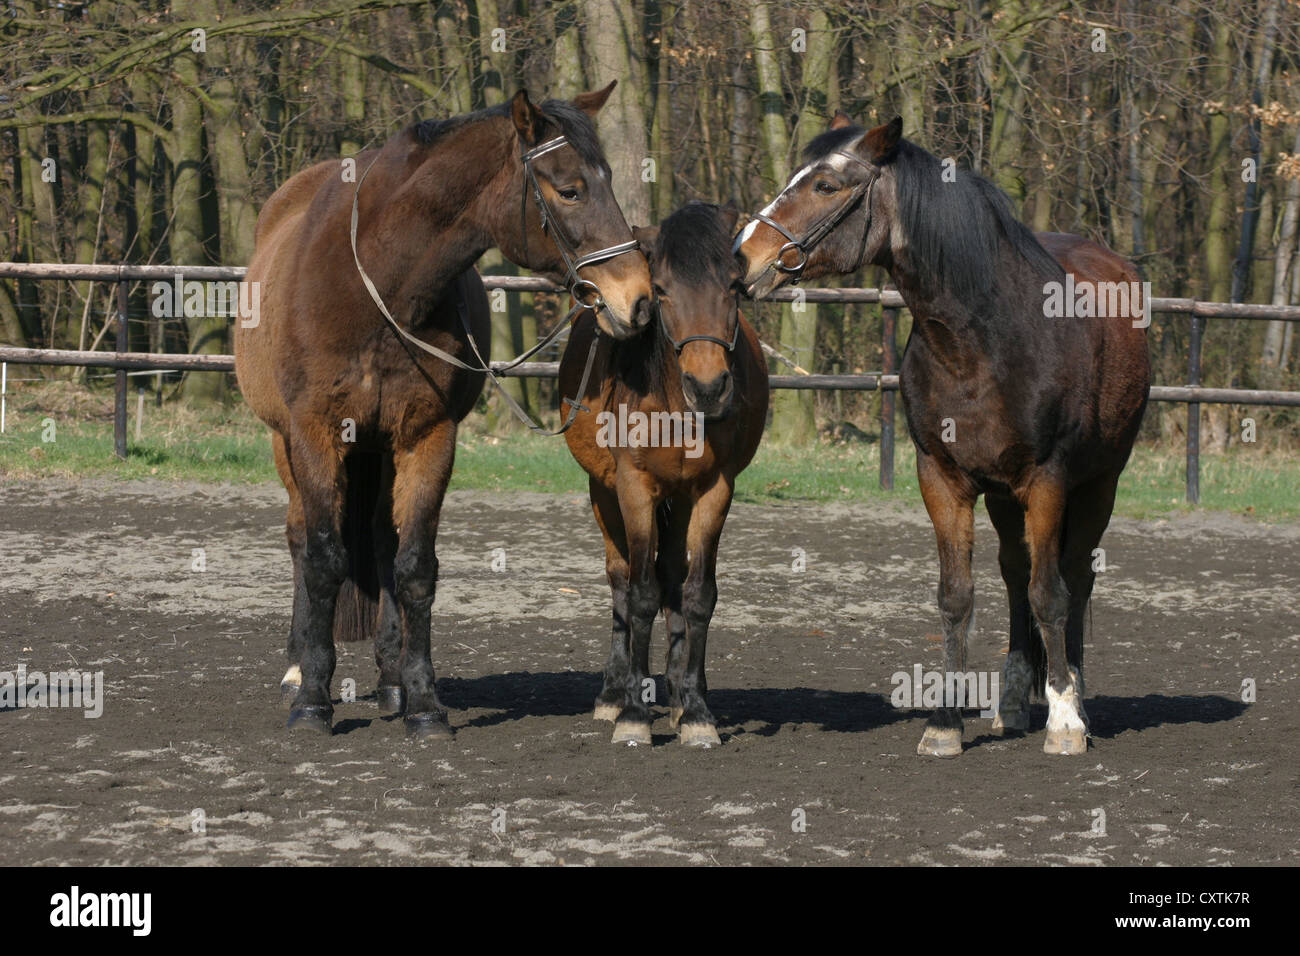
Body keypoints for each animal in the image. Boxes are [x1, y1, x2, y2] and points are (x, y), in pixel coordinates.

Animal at [235, 83, 652, 738]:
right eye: (570, 189)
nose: (637, 299)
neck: (377, 289)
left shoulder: (426, 437)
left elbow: (413, 568)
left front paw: (424, 701)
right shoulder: (314, 435)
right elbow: (324, 560)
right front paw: (314, 701)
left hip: (379, 450)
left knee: (381, 543)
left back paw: (389, 681)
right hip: (287, 446)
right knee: (302, 539)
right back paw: (299, 670)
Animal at [560, 201, 768, 747]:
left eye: (733, 287)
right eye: (662, 289)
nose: (709, 387)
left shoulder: (714, 490)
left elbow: (696, 595)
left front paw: (695, 711)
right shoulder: (635, 489)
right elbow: (640, 594)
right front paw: (633, 712)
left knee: (673, 575)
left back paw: (676, 695)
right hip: (603, 493)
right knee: (620, 579)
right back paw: (614, 694)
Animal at [735, 113, 1150, 756]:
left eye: (826, 186)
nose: (742, 259)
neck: (982, 341)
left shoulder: (1049, 481)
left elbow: (1050, 594)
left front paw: (1065, 720)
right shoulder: (943, 478)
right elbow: (957, 596)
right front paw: (945, 723)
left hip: (1100, 482)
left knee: (1074, 579)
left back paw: (1073, 695)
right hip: (1004, 496)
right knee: (1014, 576)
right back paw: (1011, 701)